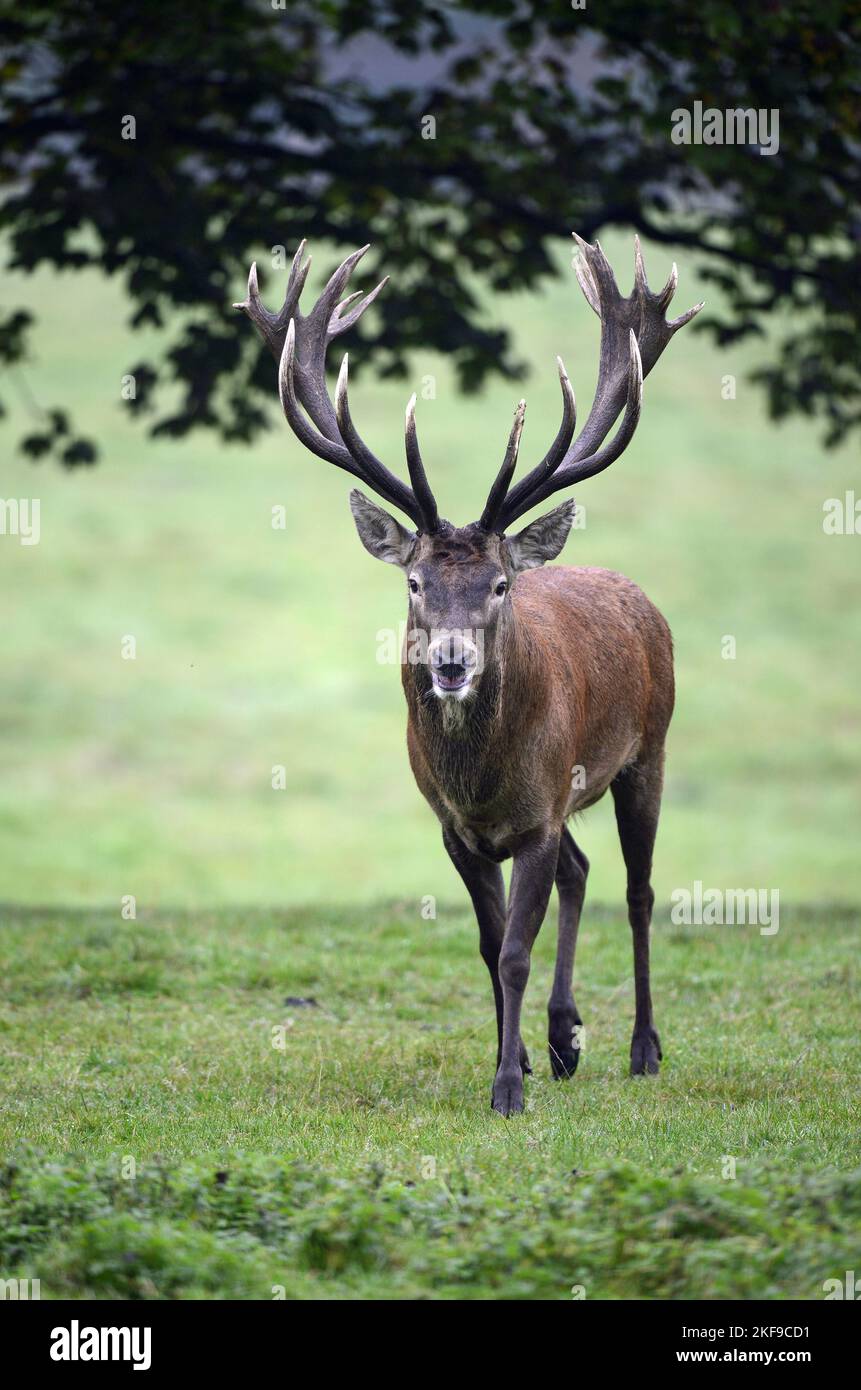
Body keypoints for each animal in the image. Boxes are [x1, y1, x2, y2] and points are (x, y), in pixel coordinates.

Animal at [235, 234, 702, 1116]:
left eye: (496, 585)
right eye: (416, 582)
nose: (450, 662)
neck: (480, 778)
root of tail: (641, 597)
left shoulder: (539, 813)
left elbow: (516, 948)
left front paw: (507, 1090)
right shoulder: (459, 828)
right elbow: (490, 947)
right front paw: (512, 1057)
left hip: (647, 751)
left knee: (638, 891)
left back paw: (643, 1048)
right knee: (582, 872)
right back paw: (562, 1038)